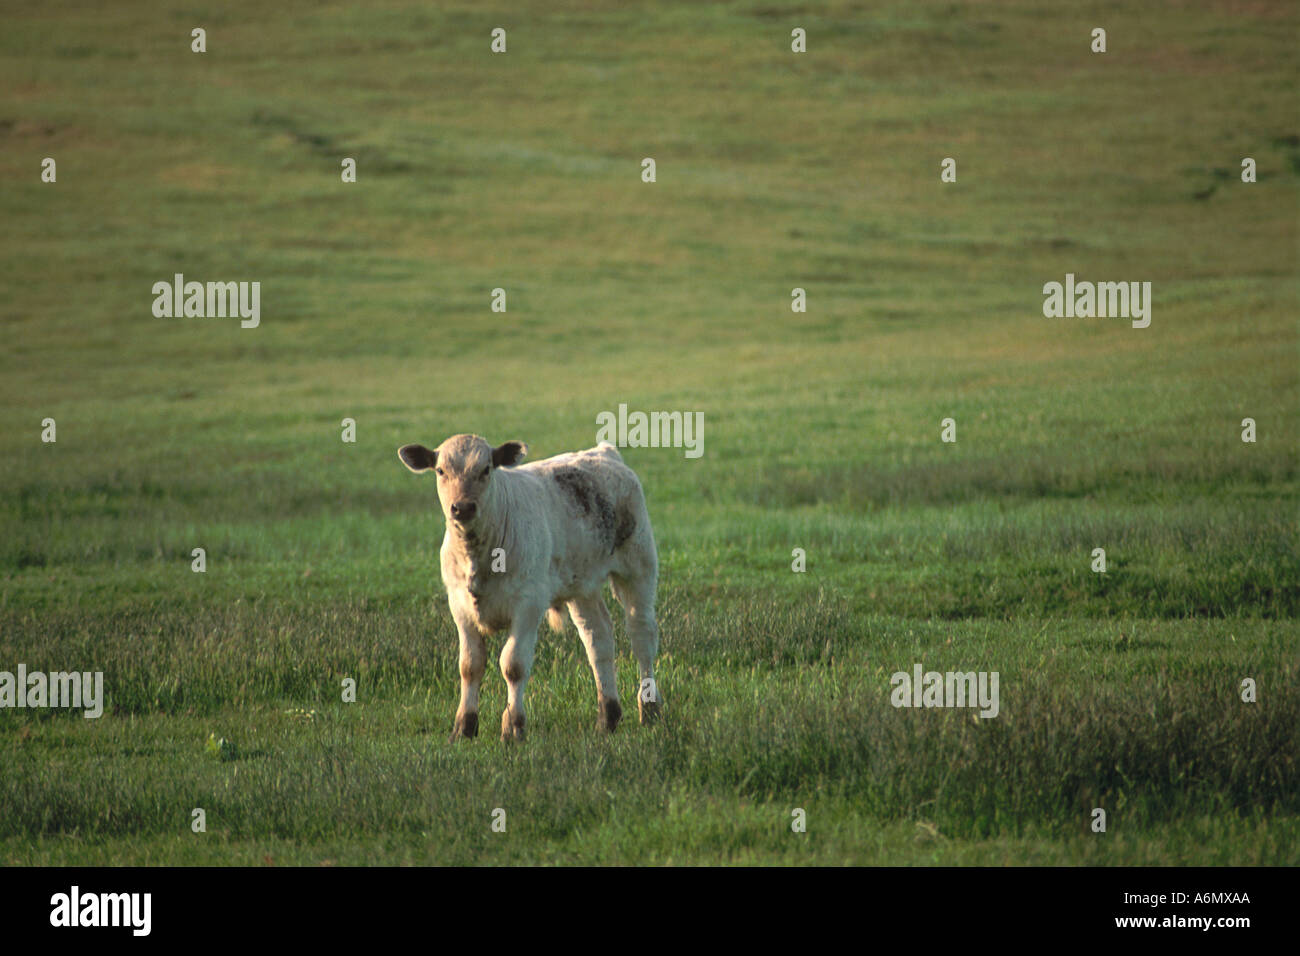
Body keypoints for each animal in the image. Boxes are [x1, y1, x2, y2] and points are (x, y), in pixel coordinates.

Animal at [398, 434, 663, 741]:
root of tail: (603, 452)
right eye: (441, 471)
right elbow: (470, 666)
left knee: (641, 636)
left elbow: (513, 665)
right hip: (581, 585)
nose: (462, 507)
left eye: (486, 469)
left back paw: (650, 709)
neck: (480, 555)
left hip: (638, 565)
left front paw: (513, 726)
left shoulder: (528, 604)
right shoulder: (459, 606)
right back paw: (607, 716)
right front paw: (464, 727)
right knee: (598, 639)